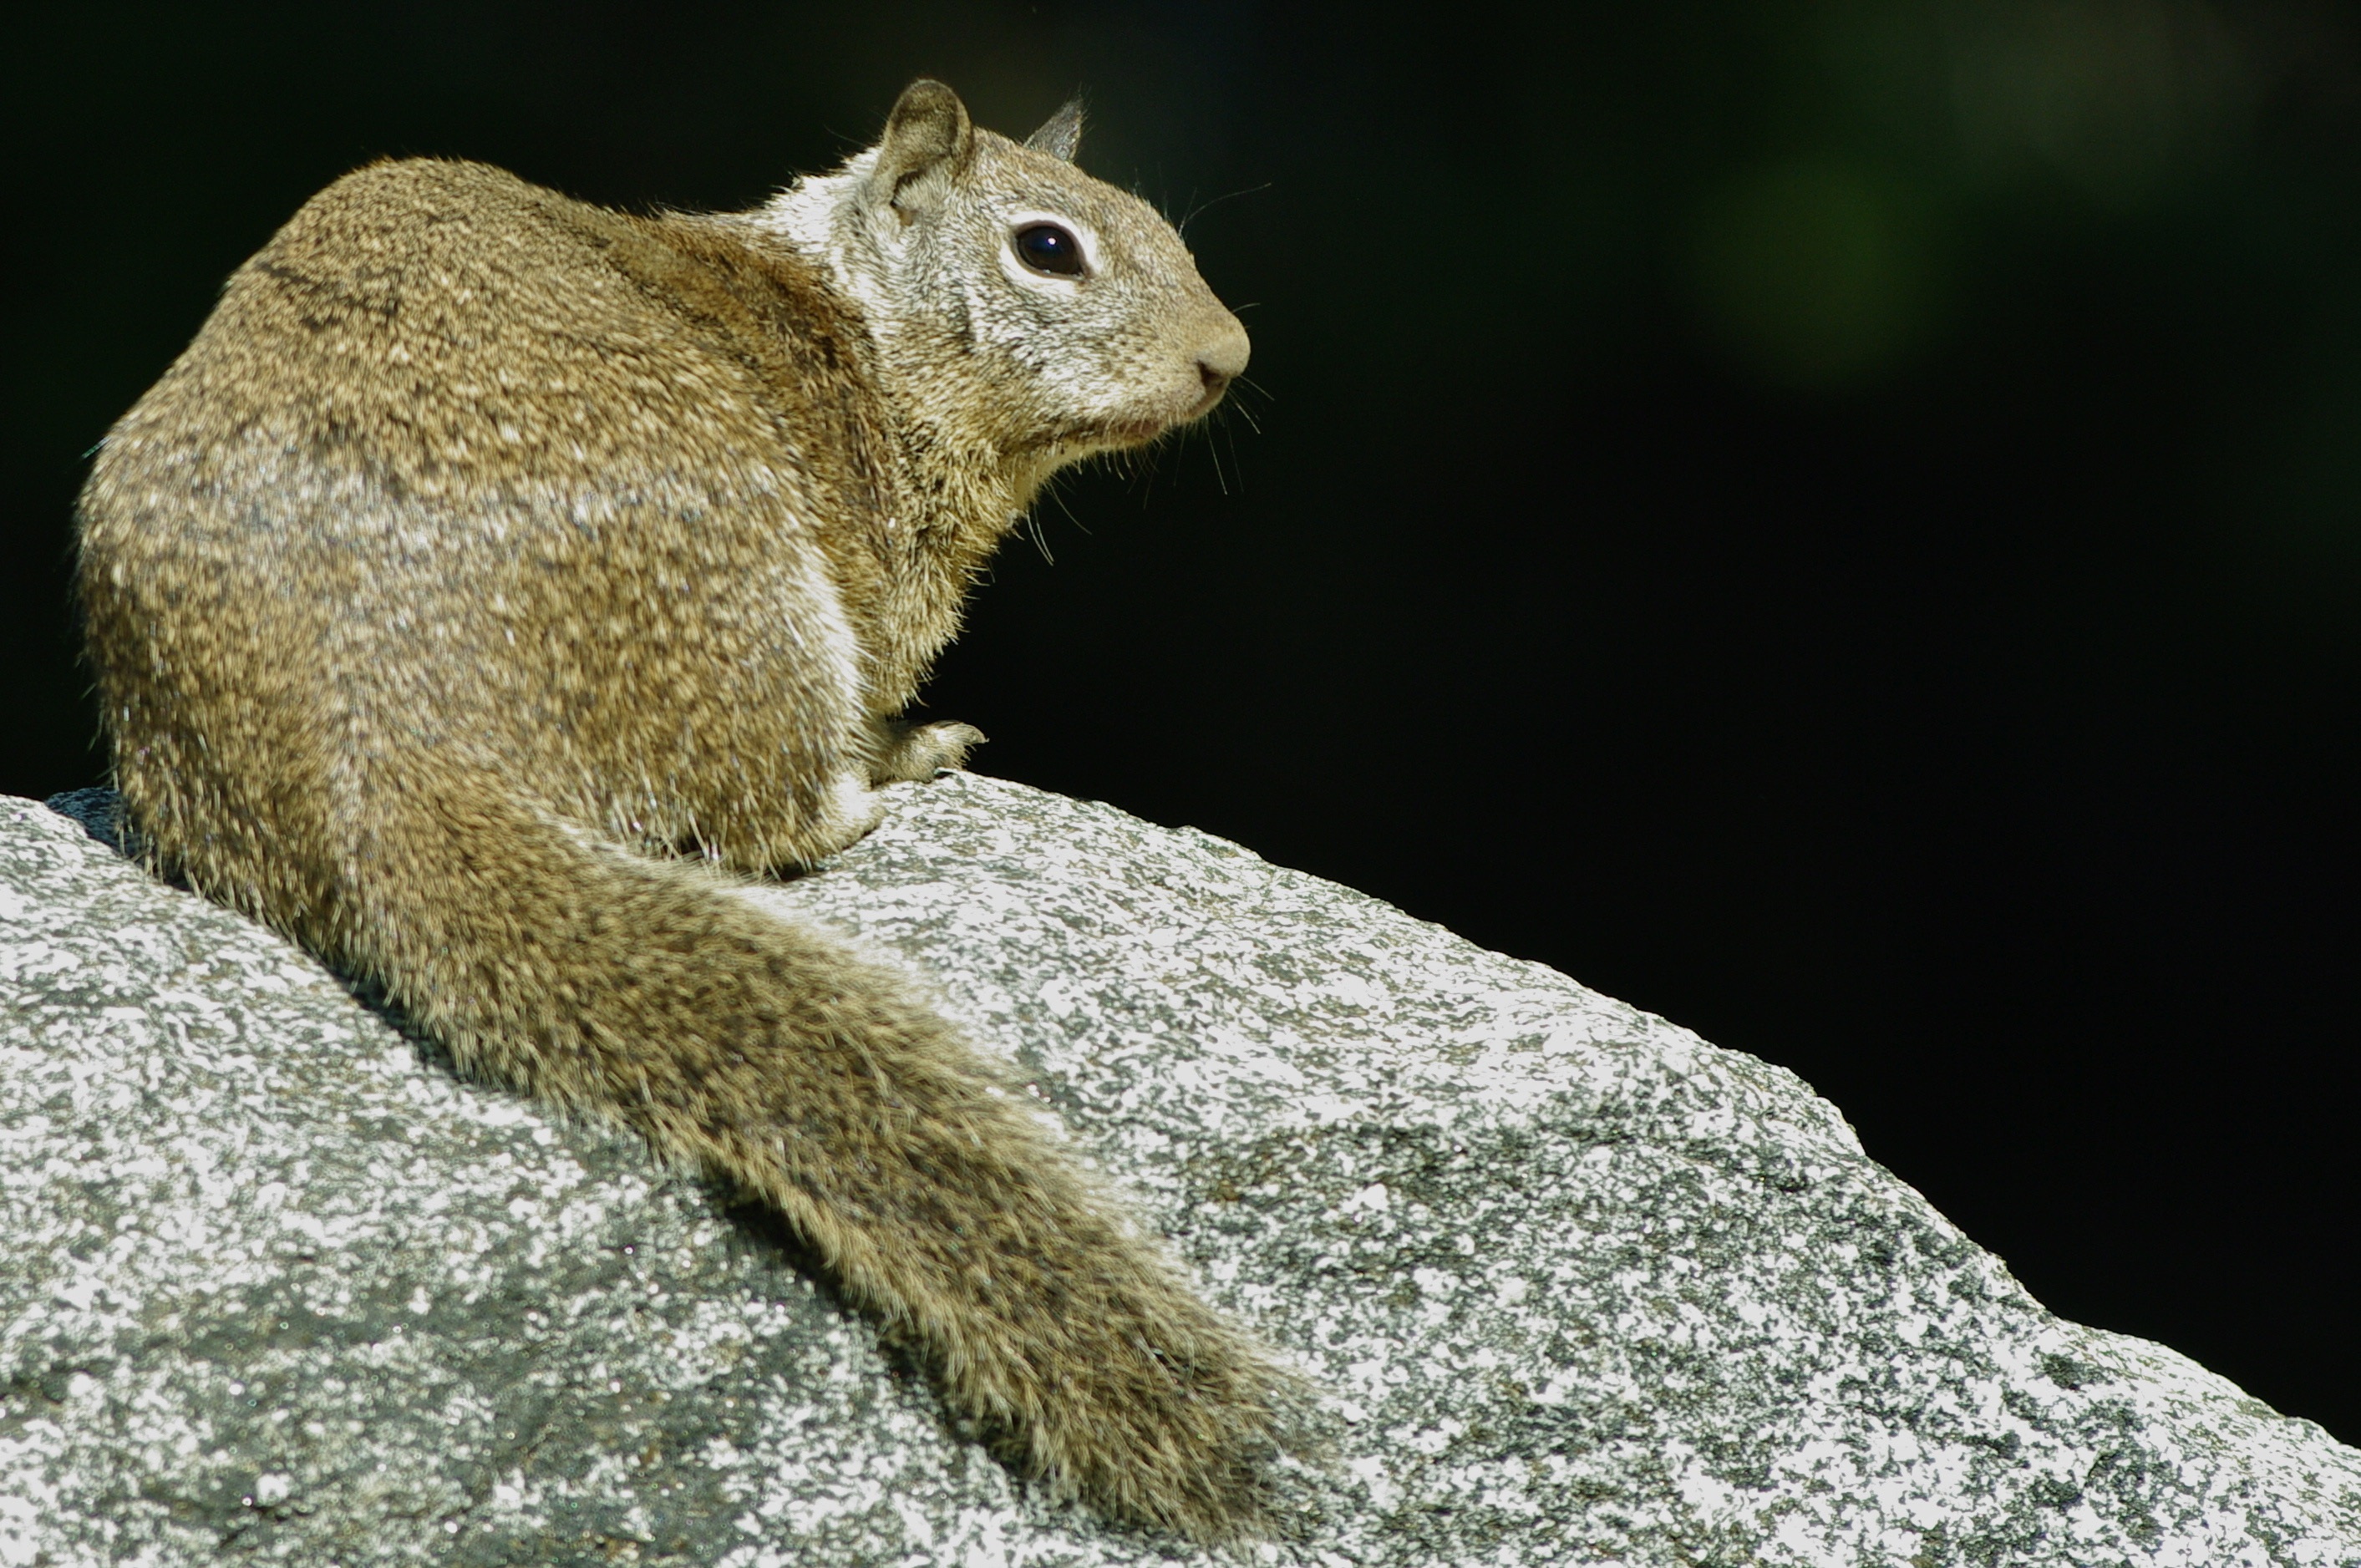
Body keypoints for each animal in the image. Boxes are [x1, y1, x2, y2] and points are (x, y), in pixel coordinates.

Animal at [74, 81, 1291, 1541]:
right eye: (1048, 249)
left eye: (1164, 227)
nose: (1227, 357)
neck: (853, 313)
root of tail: (375, 724)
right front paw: (915, 733)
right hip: (765, 612)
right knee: (768, 819)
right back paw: (883, 779)